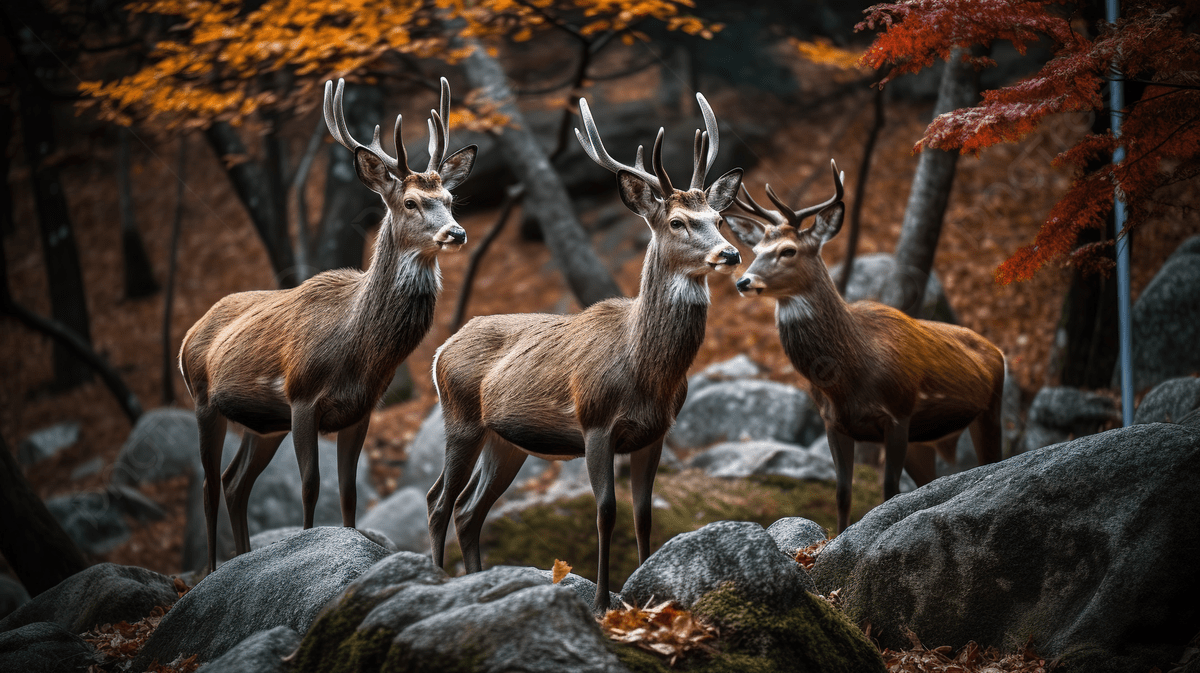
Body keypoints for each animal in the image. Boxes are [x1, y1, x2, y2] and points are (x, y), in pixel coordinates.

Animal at [179, 78, 477, 574]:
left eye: (451, 201)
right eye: (411, 202)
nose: (456, 232)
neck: (354, 351)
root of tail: (188, 334)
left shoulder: (360, 409)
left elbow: (350, 493)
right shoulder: (302, 397)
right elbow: (310, 486)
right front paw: (304, 547)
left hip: (263, 423)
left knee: (234, 482)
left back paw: (242, 557)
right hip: (204, 399)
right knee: (207, 484)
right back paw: (214, 569)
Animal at [426, 93, 743, 613]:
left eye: (718, 220)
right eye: (677, 222)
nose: (730, 254)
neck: (645, 369)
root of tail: (439, 351)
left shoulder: (656, 432)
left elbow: (644, 514)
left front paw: (641, 594)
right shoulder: (595, 421)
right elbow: (606, 511)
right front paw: (600, 602)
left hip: (505, 441)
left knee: (470, 510)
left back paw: (476, 580)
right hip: (461, 418)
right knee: (439, 501)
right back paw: (437, 579)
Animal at [724, 161, 1005, 534]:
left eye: (788, 250)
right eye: (755, 252)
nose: (744, 281)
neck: (849, 377)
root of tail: (998, 351)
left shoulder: (898, 412)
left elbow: (889, 490)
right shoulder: (834, 423)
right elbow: (843, 492)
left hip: (990, 410)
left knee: (996, 460)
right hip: (925, 440)